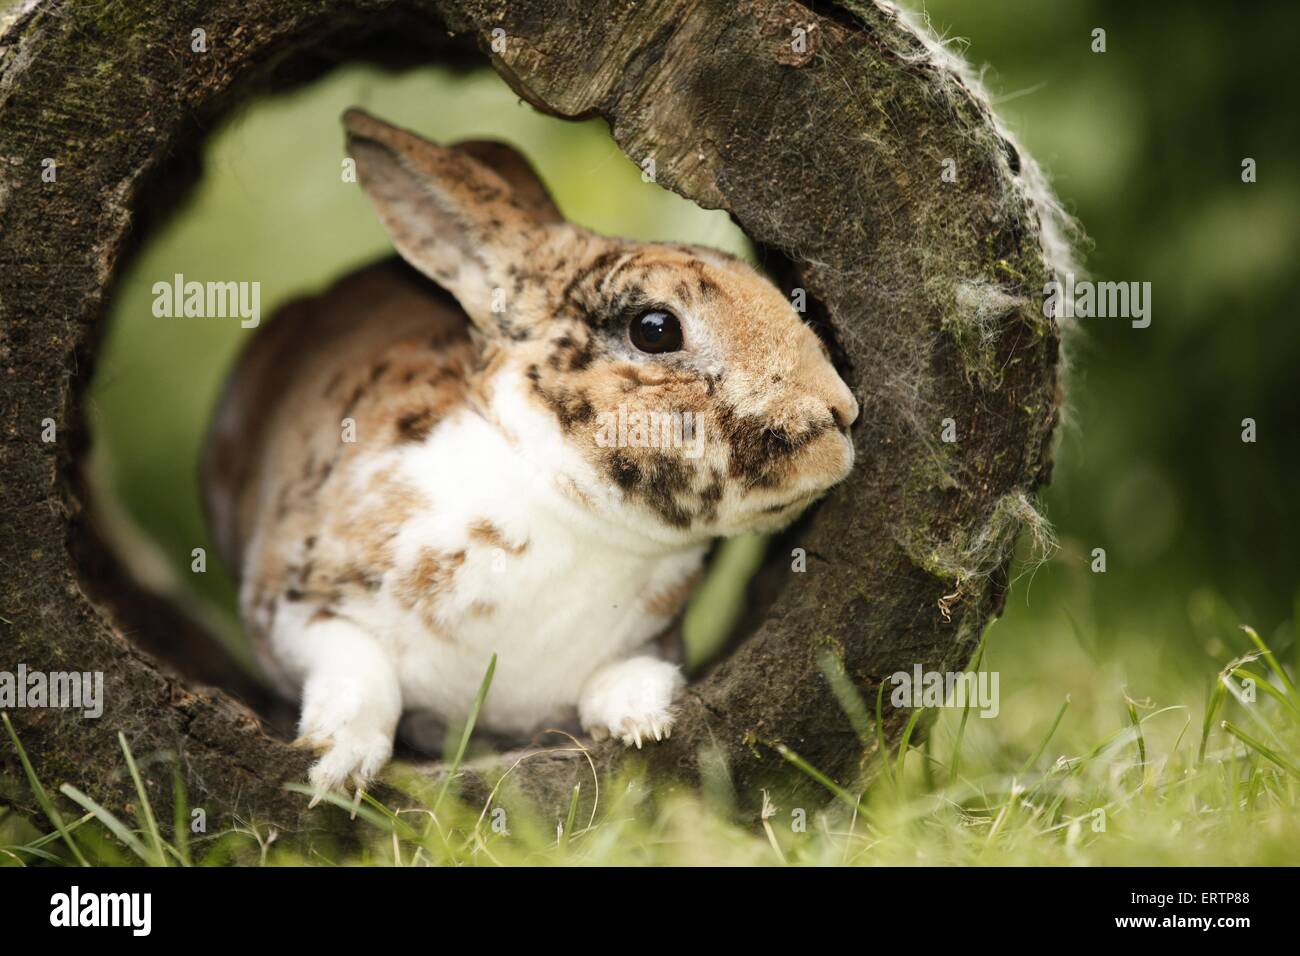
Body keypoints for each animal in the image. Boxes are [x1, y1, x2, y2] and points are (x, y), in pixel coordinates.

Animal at [202, 108, 860, 799]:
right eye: (655, 329)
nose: (839, 410)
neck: (565, 507)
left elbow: (628, 672)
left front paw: (638, 716)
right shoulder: (287, 607)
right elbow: (356, 665)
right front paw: (339, 765)